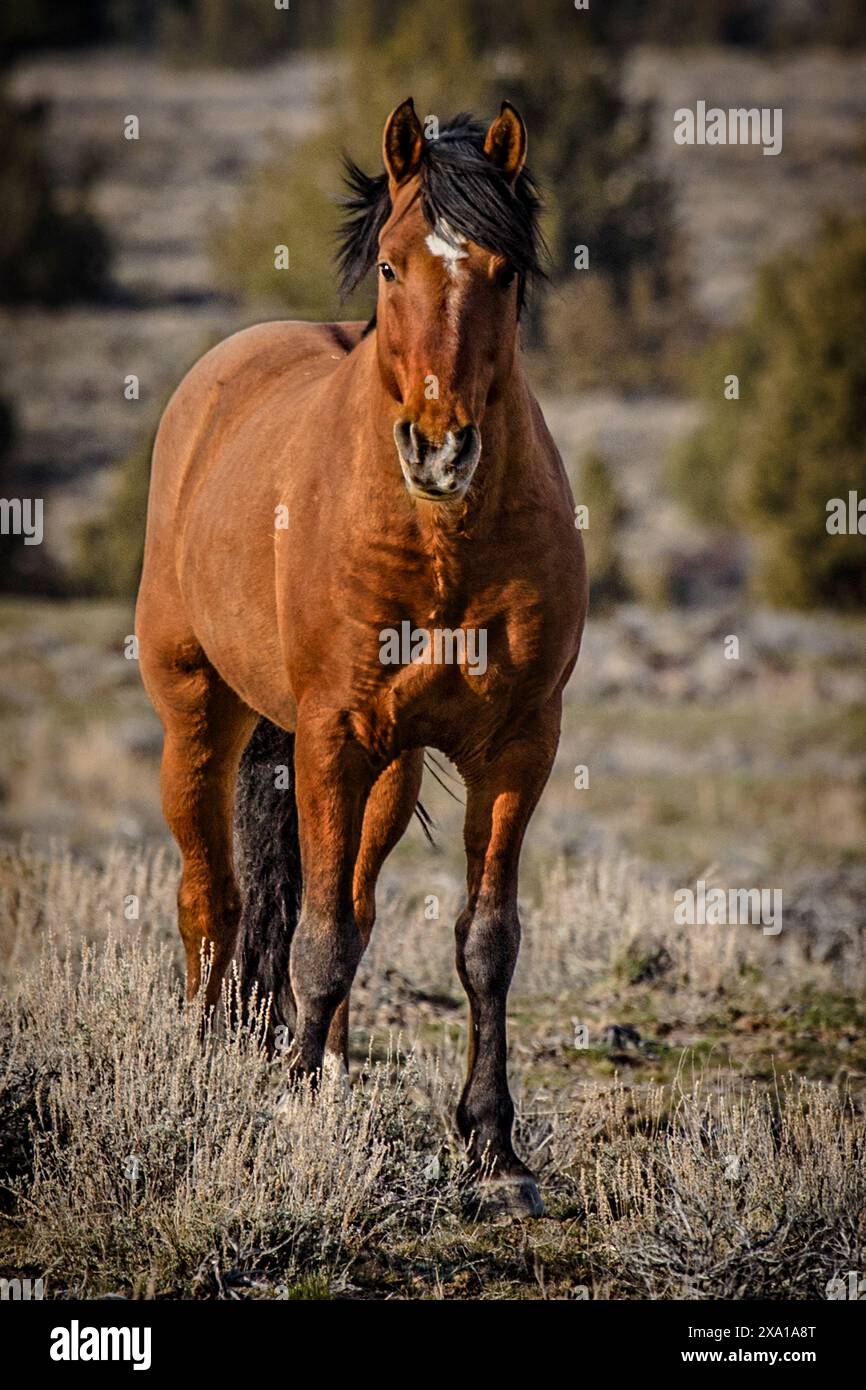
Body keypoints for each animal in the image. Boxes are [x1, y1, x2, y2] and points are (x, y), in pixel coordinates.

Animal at [136, 98, 587, 1217]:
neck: (439, 542)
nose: (439, 445)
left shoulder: (517, 749)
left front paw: (493, 1148)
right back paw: (204, 1060)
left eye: (503, 270)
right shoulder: (331, 738)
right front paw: (292, 1111)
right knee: (212, 896)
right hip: (197, 715)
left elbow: (482, 940)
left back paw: (330, 1069)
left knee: (352, 898)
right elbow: (318, 934)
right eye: (390, 265)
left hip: (387, 773)